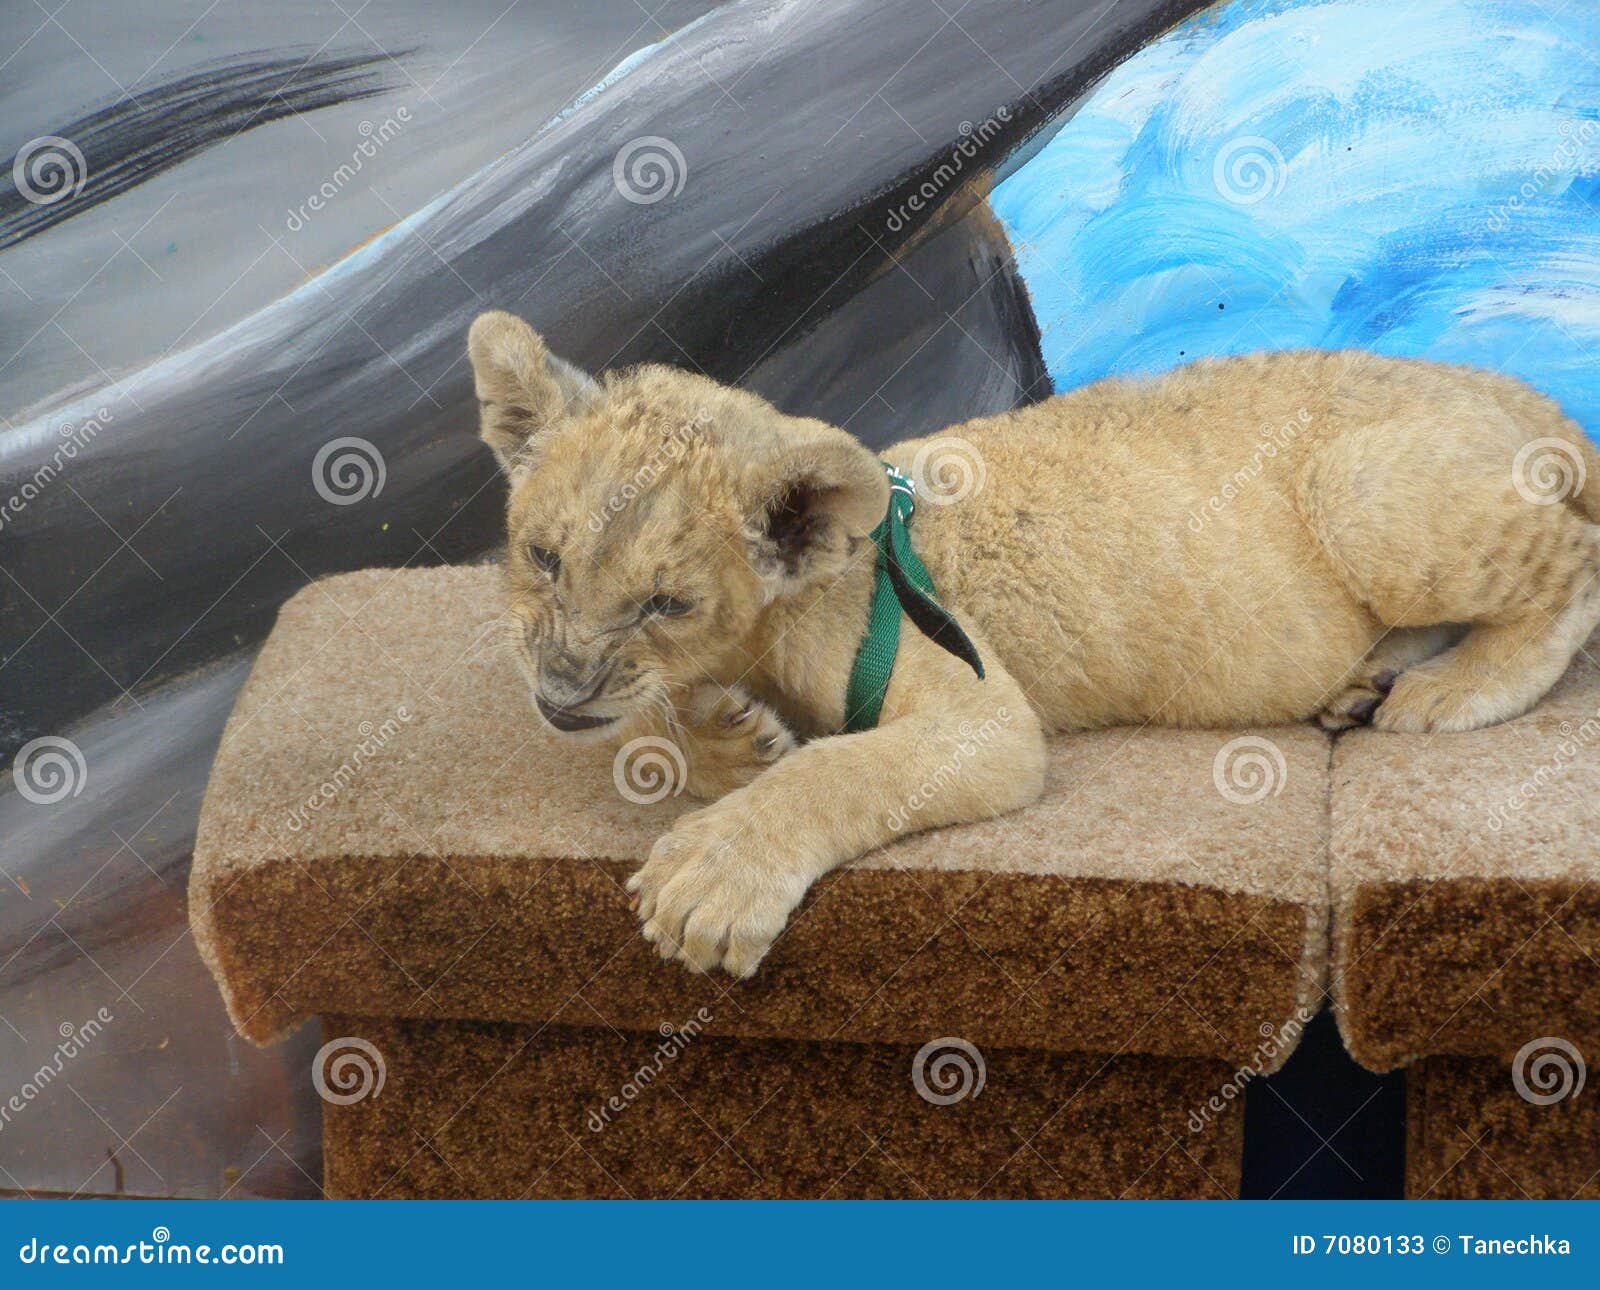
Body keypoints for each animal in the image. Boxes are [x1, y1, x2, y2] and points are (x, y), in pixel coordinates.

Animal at [468, 309, 1600, 978]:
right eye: (542, 557)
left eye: (666, 602)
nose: (556, 697)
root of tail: (1529, 395)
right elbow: (649, 730)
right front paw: (731, 737)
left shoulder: (979, 706)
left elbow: (836, 768)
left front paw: (710, 875)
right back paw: (1367, 679)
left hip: (1362, 491)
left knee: (1575, 560)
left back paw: (1453, 688)